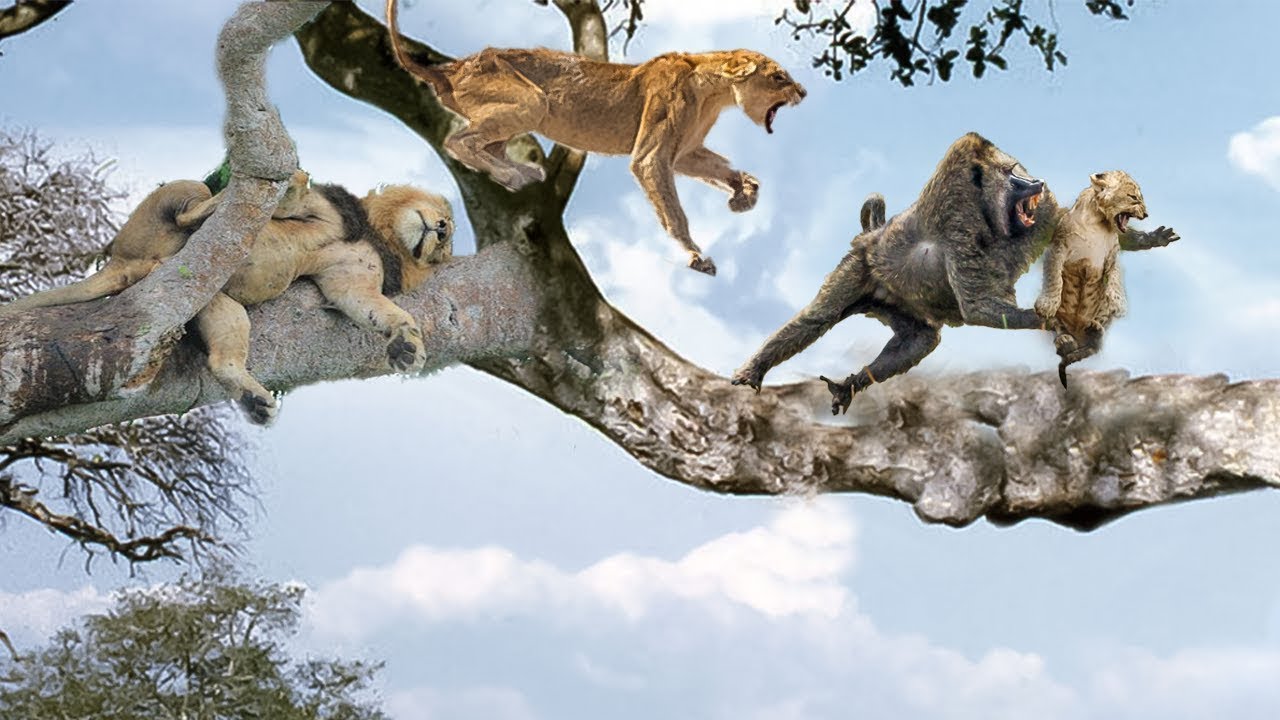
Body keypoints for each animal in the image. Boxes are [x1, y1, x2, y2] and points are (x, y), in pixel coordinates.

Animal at [0, 171, 455, 424]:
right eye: (448, 218)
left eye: (445, 248)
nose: (441, 232)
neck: (380, 233)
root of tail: (125, 262)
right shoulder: (324, 205)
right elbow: (293, 200)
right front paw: (293, 181)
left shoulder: (351, 280)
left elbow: (376, 309)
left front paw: (407, 346)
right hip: (177, 200)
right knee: (194, 205)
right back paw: (214, 205)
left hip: (211, 299)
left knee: (222, 359)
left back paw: (255, 401)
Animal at [385, 0, 807, 276]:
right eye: (779, 77)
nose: (803, 92)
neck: (715, 90)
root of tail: (452, 68)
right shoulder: (653, 154)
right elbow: (673, 211)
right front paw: (695, 255)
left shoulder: (686, 151)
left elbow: (722, 170)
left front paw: (744, 194)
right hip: (532, 101)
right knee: (458, 142)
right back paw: (512, 177)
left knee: (485, 144)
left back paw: (525, 173)